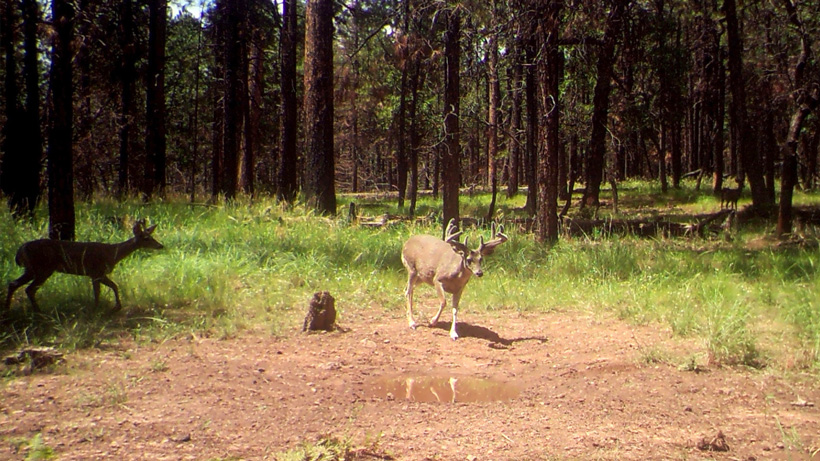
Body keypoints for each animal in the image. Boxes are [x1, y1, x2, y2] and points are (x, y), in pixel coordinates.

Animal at [5, 219, 164, 313]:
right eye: (146, 238)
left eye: (151, 236)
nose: (160, 245)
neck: (113, 253)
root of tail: (20, 251)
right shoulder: (96, 272)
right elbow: (98, 292)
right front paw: (96, 308)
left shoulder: (99, 274)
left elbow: (114, 286)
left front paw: (116, 306)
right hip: (43, 268)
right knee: (29, 289)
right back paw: (38, 311)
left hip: (32, 269)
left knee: (14, 284)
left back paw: (9, 309)